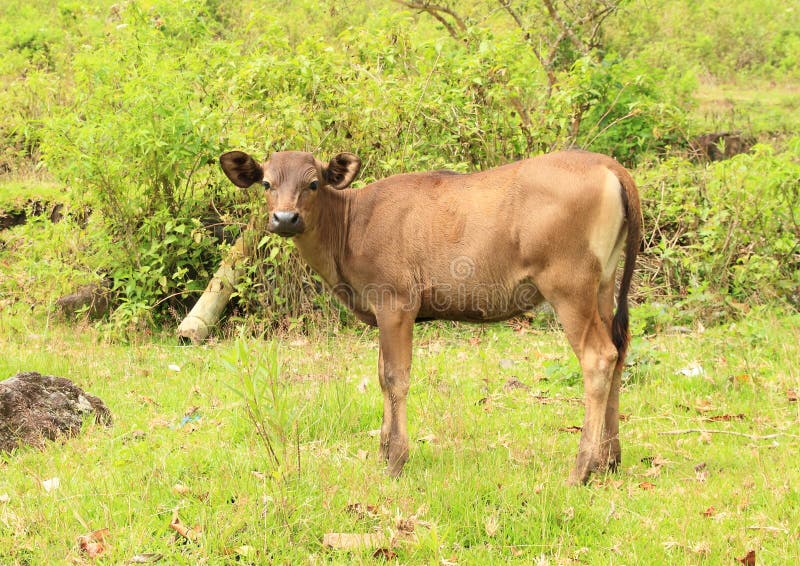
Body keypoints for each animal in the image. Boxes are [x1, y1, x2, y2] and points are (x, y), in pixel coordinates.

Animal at [220, 149, 641, 485]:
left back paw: (581, 470)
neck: (349, 231)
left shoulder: (395, 301)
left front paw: (395, 461)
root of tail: (608, 165)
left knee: (598, 358)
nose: (285, 218)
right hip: (603, 284)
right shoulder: (382, 309)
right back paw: (610, 459)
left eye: (313, 183)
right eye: (266, 183)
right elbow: (381, 375)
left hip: (568, 284)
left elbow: (395, 378)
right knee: (620, 352)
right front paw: (383, 452)